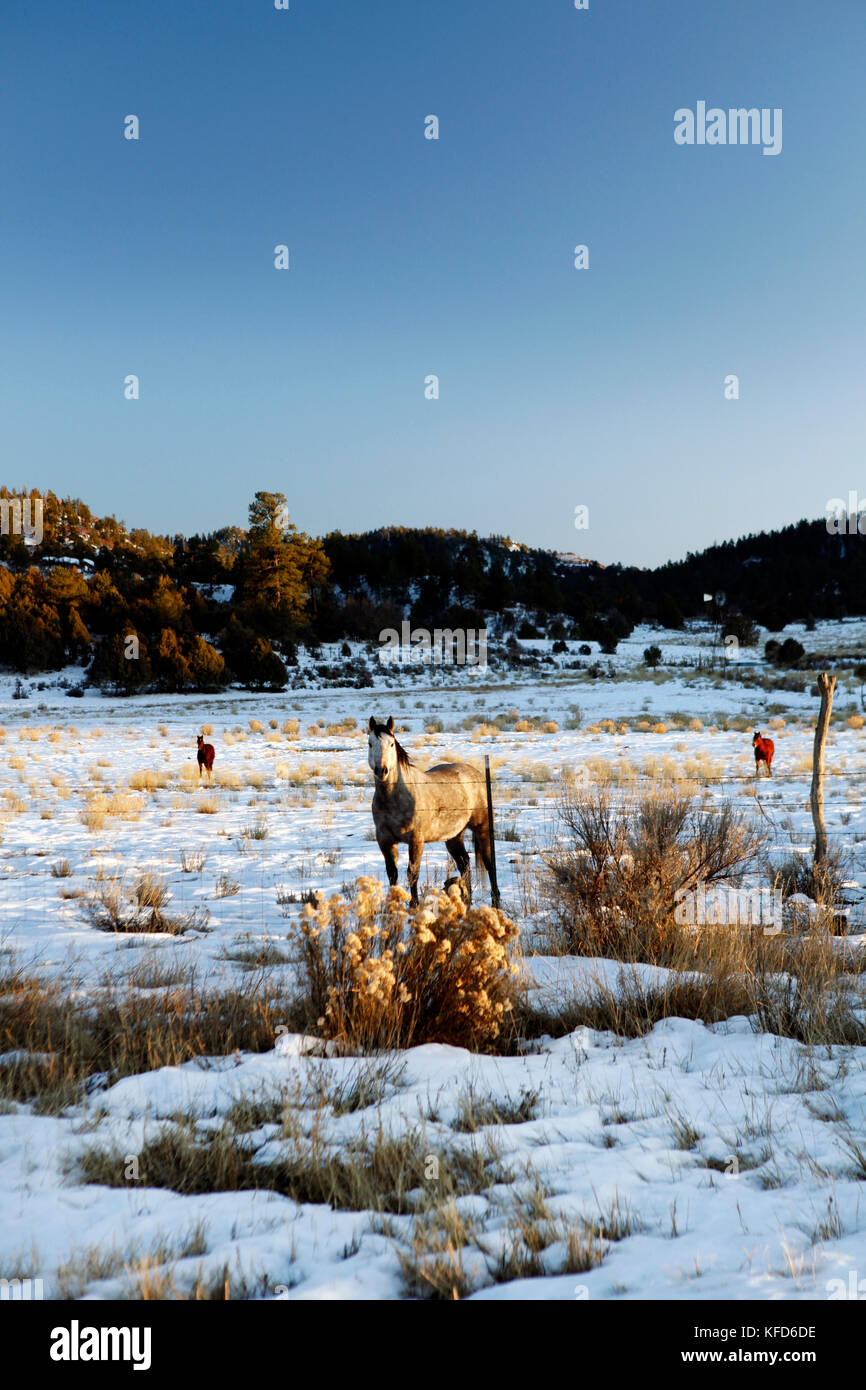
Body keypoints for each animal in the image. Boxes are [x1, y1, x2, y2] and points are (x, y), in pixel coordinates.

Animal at [368, 715, 499, 908]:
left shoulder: (416, 840)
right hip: (454, 837)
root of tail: (477, 775)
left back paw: (495, 901)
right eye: (370, 743)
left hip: (482, 829)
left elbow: (412, 873)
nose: (381, 770)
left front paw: (414, 905)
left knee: (489, 864)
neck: (395, 798)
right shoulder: (384, 840)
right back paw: (466, 901)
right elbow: (392, 873)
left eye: (391, 744)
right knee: (464, 863)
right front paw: (393, 906)